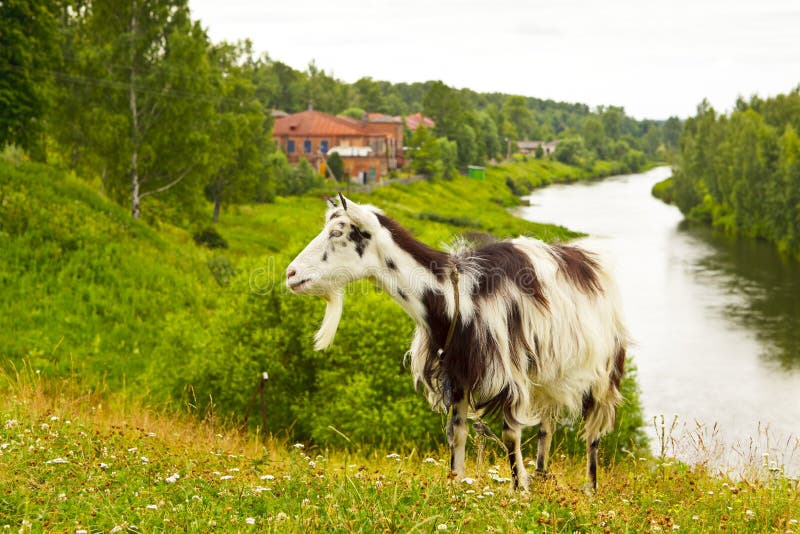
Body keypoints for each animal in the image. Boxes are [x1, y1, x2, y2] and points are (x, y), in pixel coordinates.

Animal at [286, 194, 628, 490]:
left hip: (603, 368)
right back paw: (542, 476)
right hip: (549, 373)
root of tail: (592, 263)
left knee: (593, 431)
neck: (458, 296)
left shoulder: (509, 374)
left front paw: (519, 492)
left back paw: (590, 488)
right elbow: (458, 433)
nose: (291, 274)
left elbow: (511, 435)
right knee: (547, 424)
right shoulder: (458, 375)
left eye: (338, 232)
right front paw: (457, 485)